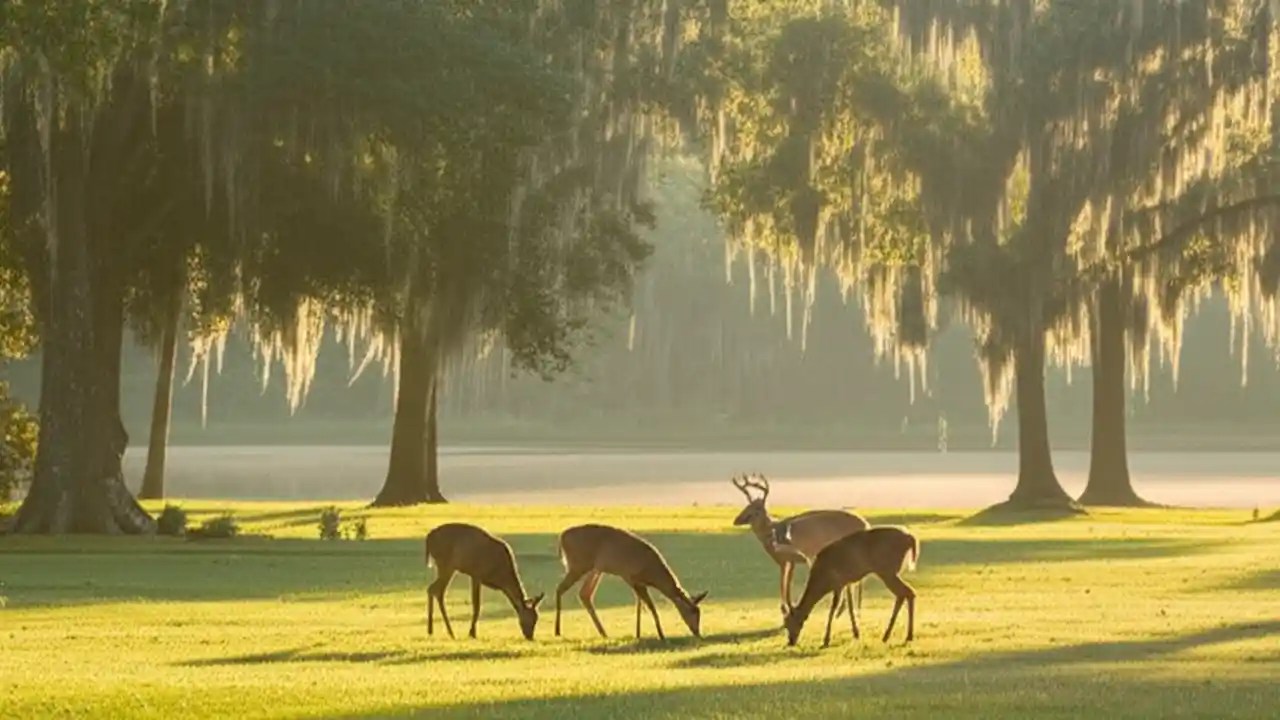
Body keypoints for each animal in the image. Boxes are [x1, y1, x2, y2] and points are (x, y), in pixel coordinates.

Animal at [553, 524, 708, 640]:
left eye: (699, 612)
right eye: (694, 611)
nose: (697, 633)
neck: (652, 573)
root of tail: (561, 538)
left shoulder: (637, 581)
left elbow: (640, 604)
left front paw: (638, 634)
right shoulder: (630, 576)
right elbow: (650, 606)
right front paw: (661, 635)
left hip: (595, 569)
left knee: (584, 594)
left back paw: (603, 633)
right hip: (578, 565)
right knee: (561, 589)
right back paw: (557, 631)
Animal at [731, 473, 870, 620]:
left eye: (755, 511)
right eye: (746, 506)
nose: (736, 520)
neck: (773, 531)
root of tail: (866, 524)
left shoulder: (792, 558)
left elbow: (785, 584)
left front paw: (787, 609)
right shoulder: (787, 561)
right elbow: (785, 582)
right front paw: (786, 609)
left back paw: (846, 610)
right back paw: (849, 610)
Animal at [783, 526, 920, 648]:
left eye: (792, 622)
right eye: (785, 623)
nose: (791, 641)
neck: (821, 579)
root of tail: (910, 538)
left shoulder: (838, 583)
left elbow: (833, 609)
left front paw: (826, 640)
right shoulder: (847, 582)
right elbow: (849, 605)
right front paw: (856, 633)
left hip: (887, 570)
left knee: (908, 592)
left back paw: (901, 636)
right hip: (890, 571)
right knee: (904, 594)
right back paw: (893, 636)